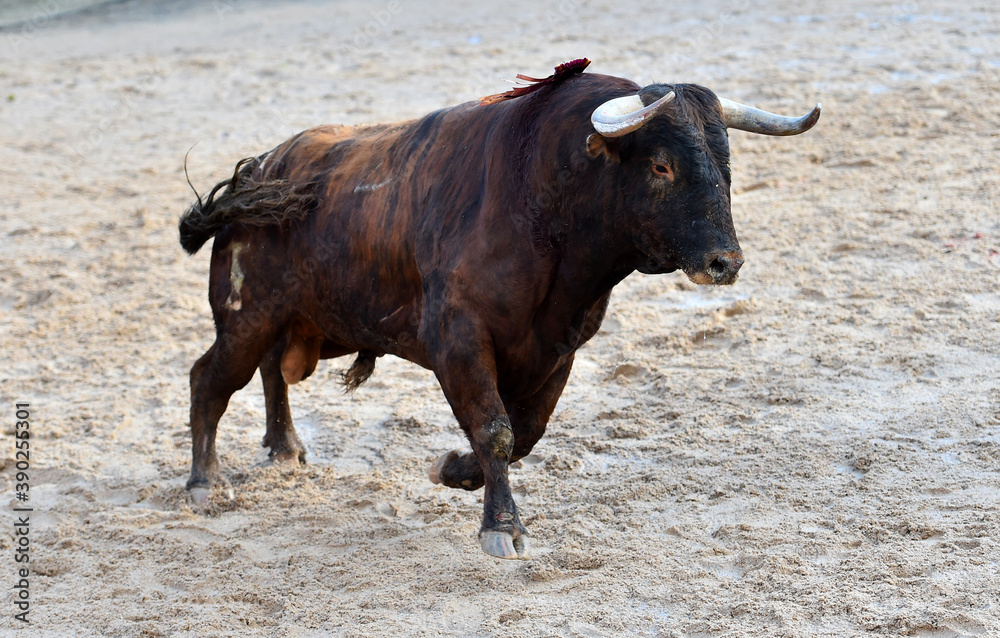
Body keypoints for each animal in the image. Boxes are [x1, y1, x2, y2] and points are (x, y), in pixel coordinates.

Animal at [178, 59, 819, 560]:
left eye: (726, 162)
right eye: (662, 164)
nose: (724, 261)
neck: (542, 205)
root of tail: (262, 172)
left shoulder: (560, 345)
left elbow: (526, 431)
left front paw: (453, 469)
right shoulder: (458, 339)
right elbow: (495, 428)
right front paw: (502, 527)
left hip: (304, 321)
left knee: (271, 369)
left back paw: (285, 450)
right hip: (245, 315)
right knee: (211, 377)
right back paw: (206, 482)